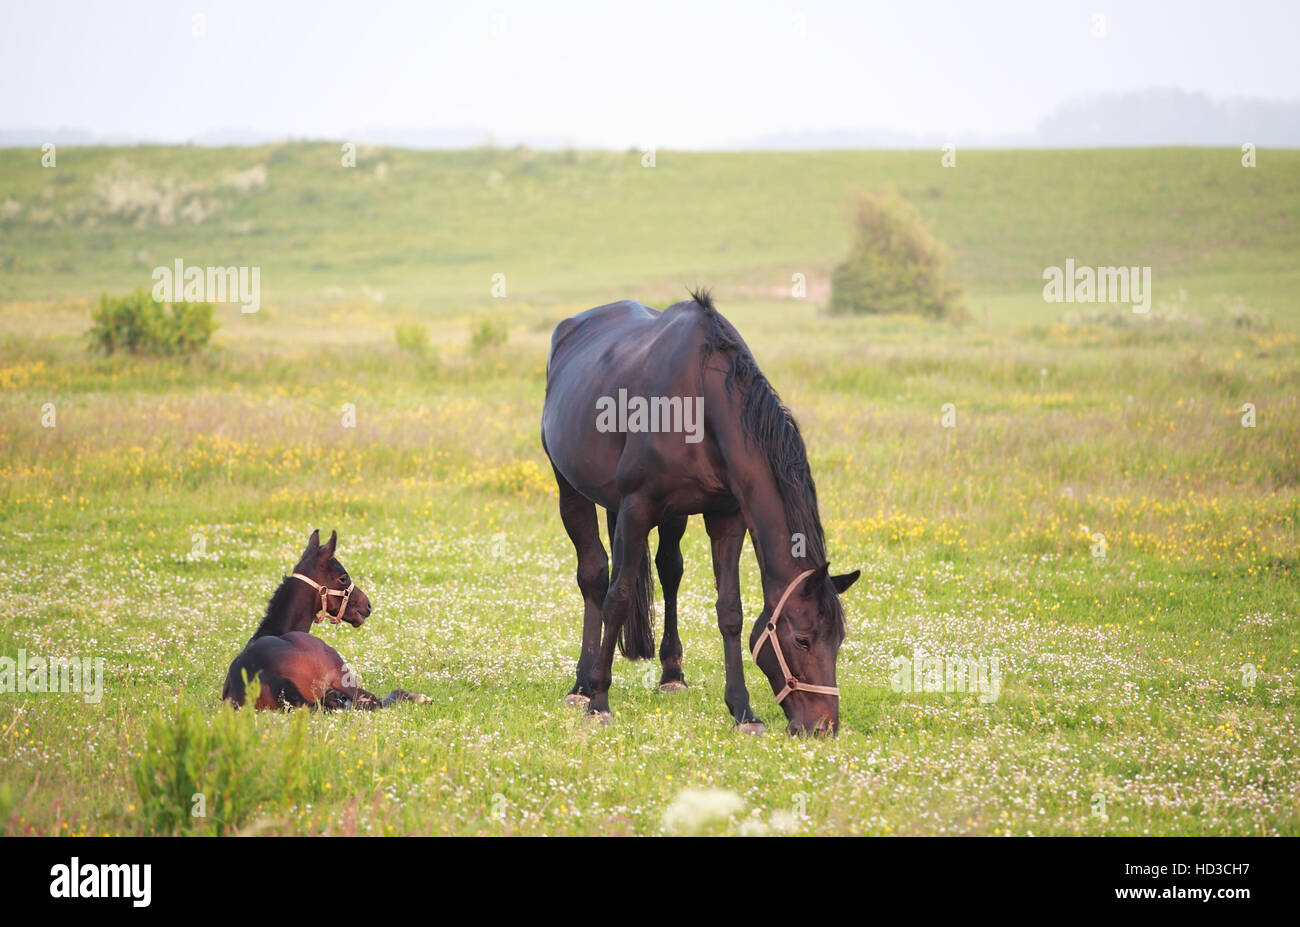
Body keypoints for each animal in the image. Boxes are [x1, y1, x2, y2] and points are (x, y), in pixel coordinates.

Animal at [541, 289, 859, 735]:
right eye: (802, 639)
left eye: (840, 640)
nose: (823, 727)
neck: (700, 405)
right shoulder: (636, 506)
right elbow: (617, 597)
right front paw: (600, 700)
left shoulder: (727, 517)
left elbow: (730, 610)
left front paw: (743, 710)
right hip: (572, 490)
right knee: (595, 576)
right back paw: (582, 684)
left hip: (672, 515)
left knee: (669, 570)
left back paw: (671, 674)